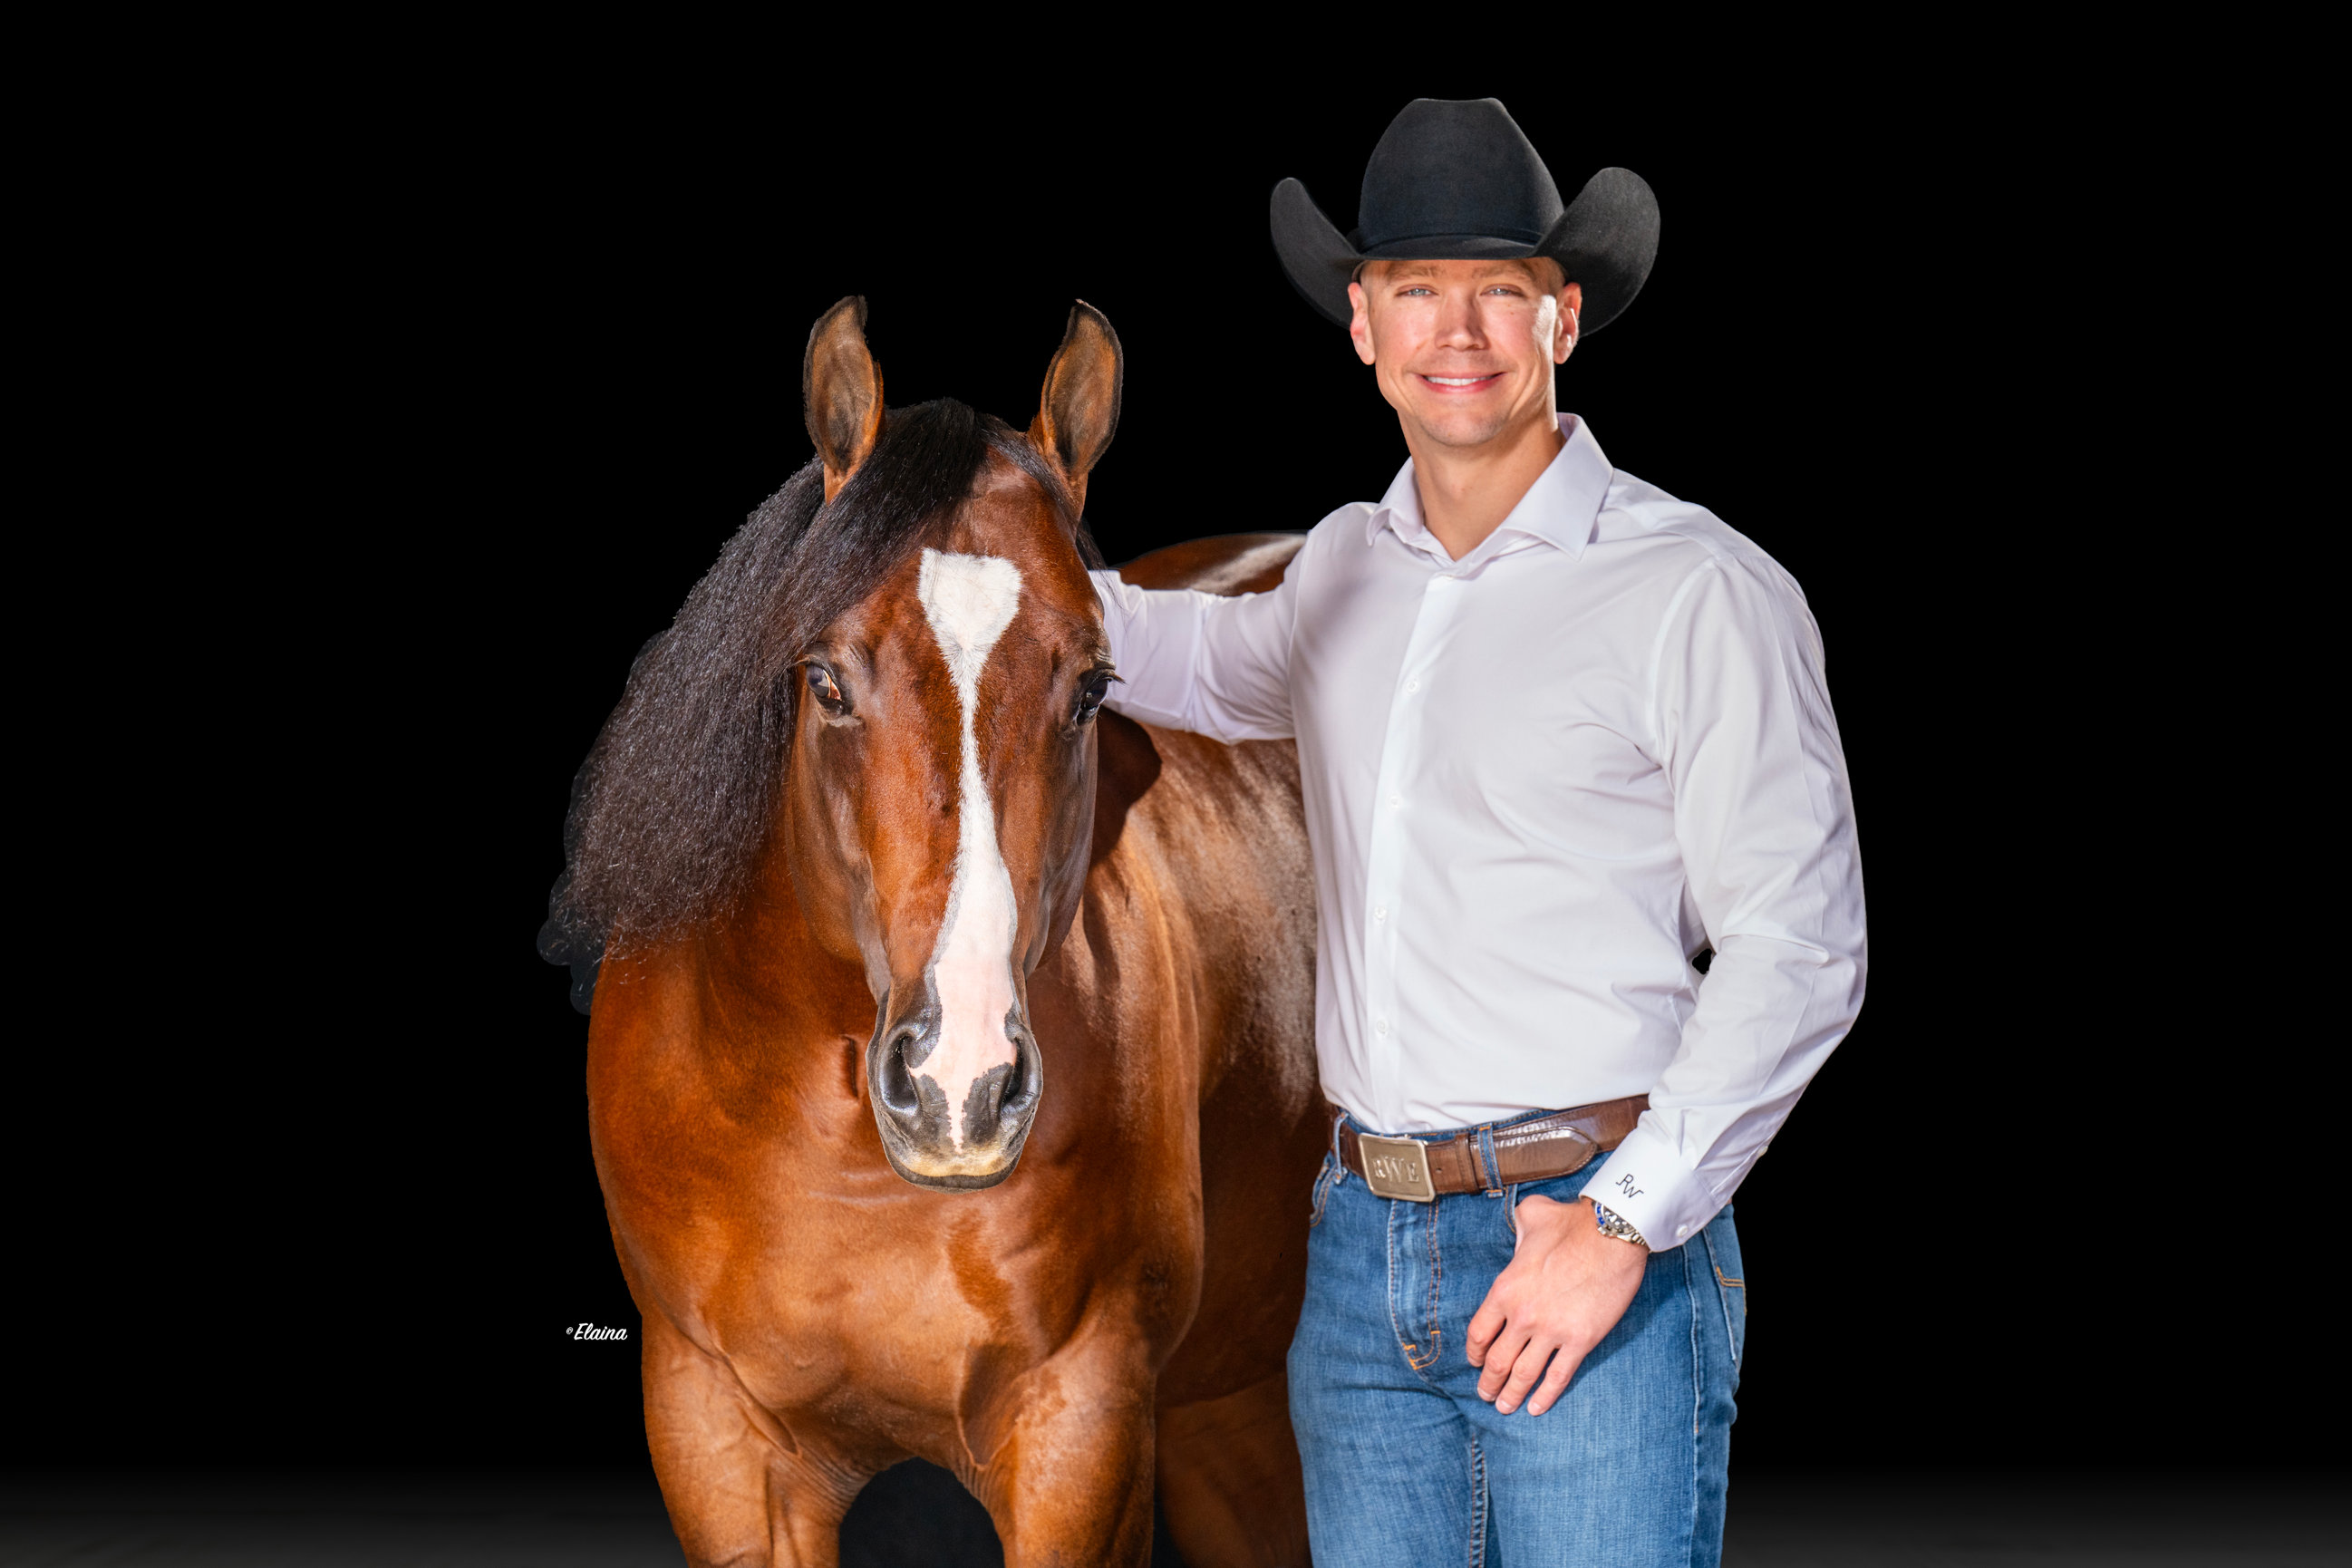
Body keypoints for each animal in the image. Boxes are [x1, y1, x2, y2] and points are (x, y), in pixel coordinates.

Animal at [541, 296, 1324, 1567]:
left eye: (1093, 687)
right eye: (824, 680)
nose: (961, 1085)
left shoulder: (1081, 1433)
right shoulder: (721, 1440)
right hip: (1231, 1414)